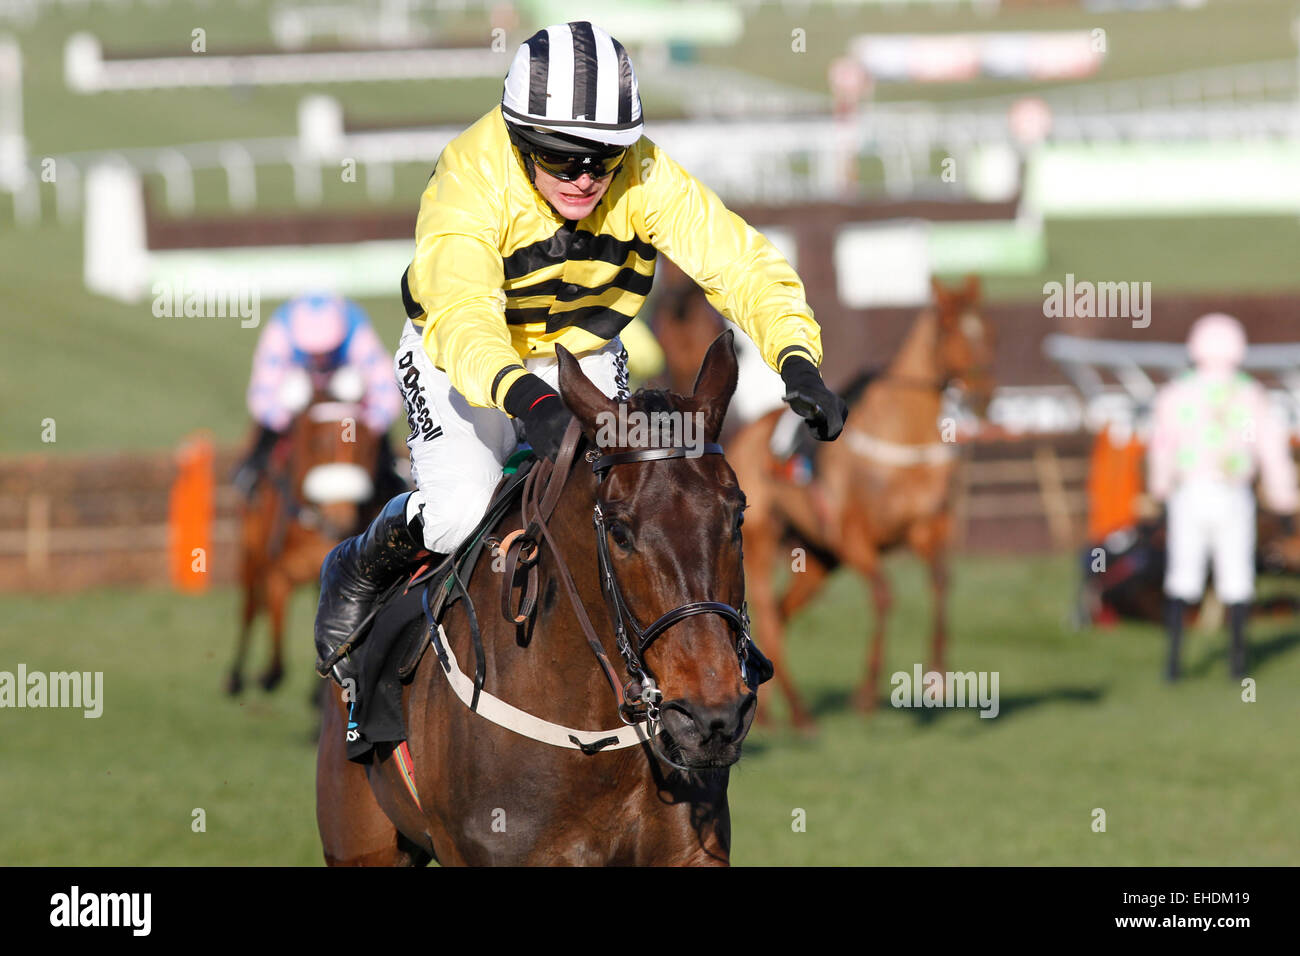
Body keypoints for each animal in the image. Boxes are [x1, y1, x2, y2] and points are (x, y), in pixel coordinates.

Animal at [227, 394, 385, 695]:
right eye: (317, 443)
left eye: (368, 447)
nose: (339, 518)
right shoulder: (277, 572)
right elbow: (275, 639)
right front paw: (267, 674)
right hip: (249, 554)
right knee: (249, 607)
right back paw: (234, 677)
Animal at [727, 275, 996, 726]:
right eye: (947, 329)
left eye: (987, 330)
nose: (983, 392)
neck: (903, 432)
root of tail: (741, 438)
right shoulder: (853, 537)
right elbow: (885, 596)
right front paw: (867, 693)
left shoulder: (925, 529)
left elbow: (941, 583)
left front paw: (938, 677)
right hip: (763, 545)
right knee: (766, 611)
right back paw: (789, 713)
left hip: (817, 558)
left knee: (780, 613)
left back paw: (785, 710)